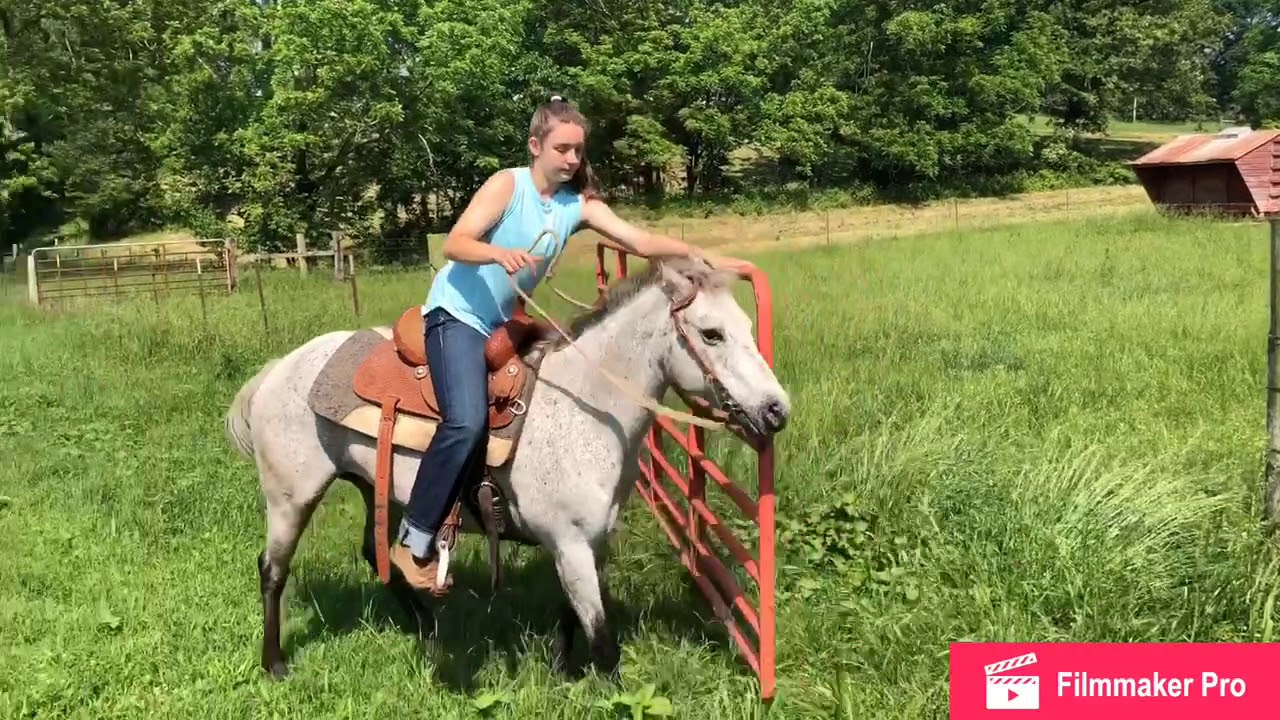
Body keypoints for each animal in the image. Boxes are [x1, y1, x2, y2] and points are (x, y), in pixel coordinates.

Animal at [223, 254, 792, 682]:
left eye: (746, 326)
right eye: (712, 334)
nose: (776, 410)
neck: (585, 406)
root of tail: (277, 370)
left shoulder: (587, 544)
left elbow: (573, 617)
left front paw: (563, 672)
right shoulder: (570, 543)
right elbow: (603, 641)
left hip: (373, 485)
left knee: (376, 554)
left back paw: (428, 629)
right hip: (291, 497)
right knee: (272, 570)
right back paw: (275, 663)